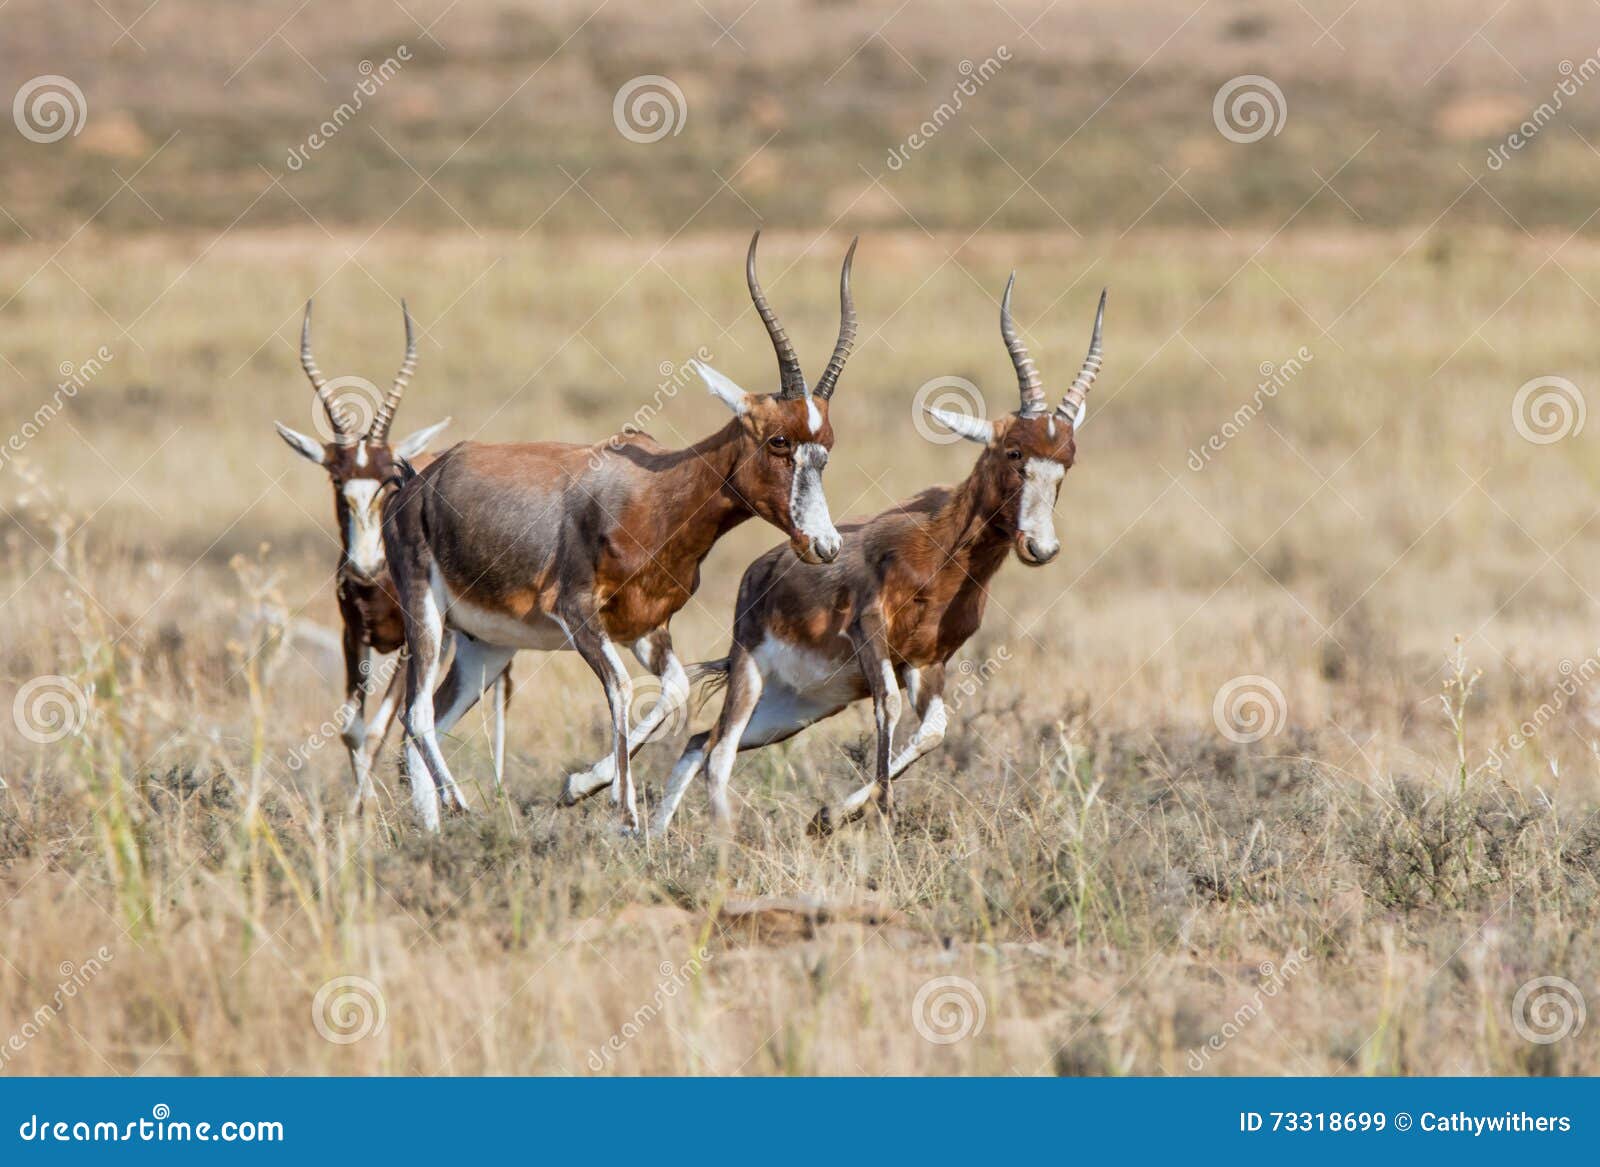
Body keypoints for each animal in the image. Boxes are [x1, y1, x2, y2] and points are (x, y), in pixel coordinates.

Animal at [274, 301, 508, 811]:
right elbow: (353, 731)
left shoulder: (407, 645)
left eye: (389, 480)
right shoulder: (353, 637)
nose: (364, 568)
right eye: (337, 480)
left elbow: (381, 727)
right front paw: (357, 816)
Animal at [384, 232, 860, 833]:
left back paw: (433, 831)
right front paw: (626, 814)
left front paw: (582, 786)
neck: (650, 492)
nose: (824, 545)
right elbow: (622, 690)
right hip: (424, 610)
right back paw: (459, 803)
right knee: (416, 714)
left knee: (424, 724)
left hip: (484, 646)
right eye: (778, 440)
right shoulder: (578, 616)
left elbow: (673, 693)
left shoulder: (645, 629)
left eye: (826, 448)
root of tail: (416, 483)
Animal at [649, 277, 1105, 836]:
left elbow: (933, 730)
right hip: (752, 675)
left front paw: (830, 815)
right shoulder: (871, 634)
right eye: (1014, 452)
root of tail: (760, 570)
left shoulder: (927, 663)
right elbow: (888, 704)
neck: (936, 549)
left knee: (700, 740)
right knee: (719, 748)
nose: (1041, 547)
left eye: (1067, 462)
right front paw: (874, 812)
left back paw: (650, 835)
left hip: (799, 706)